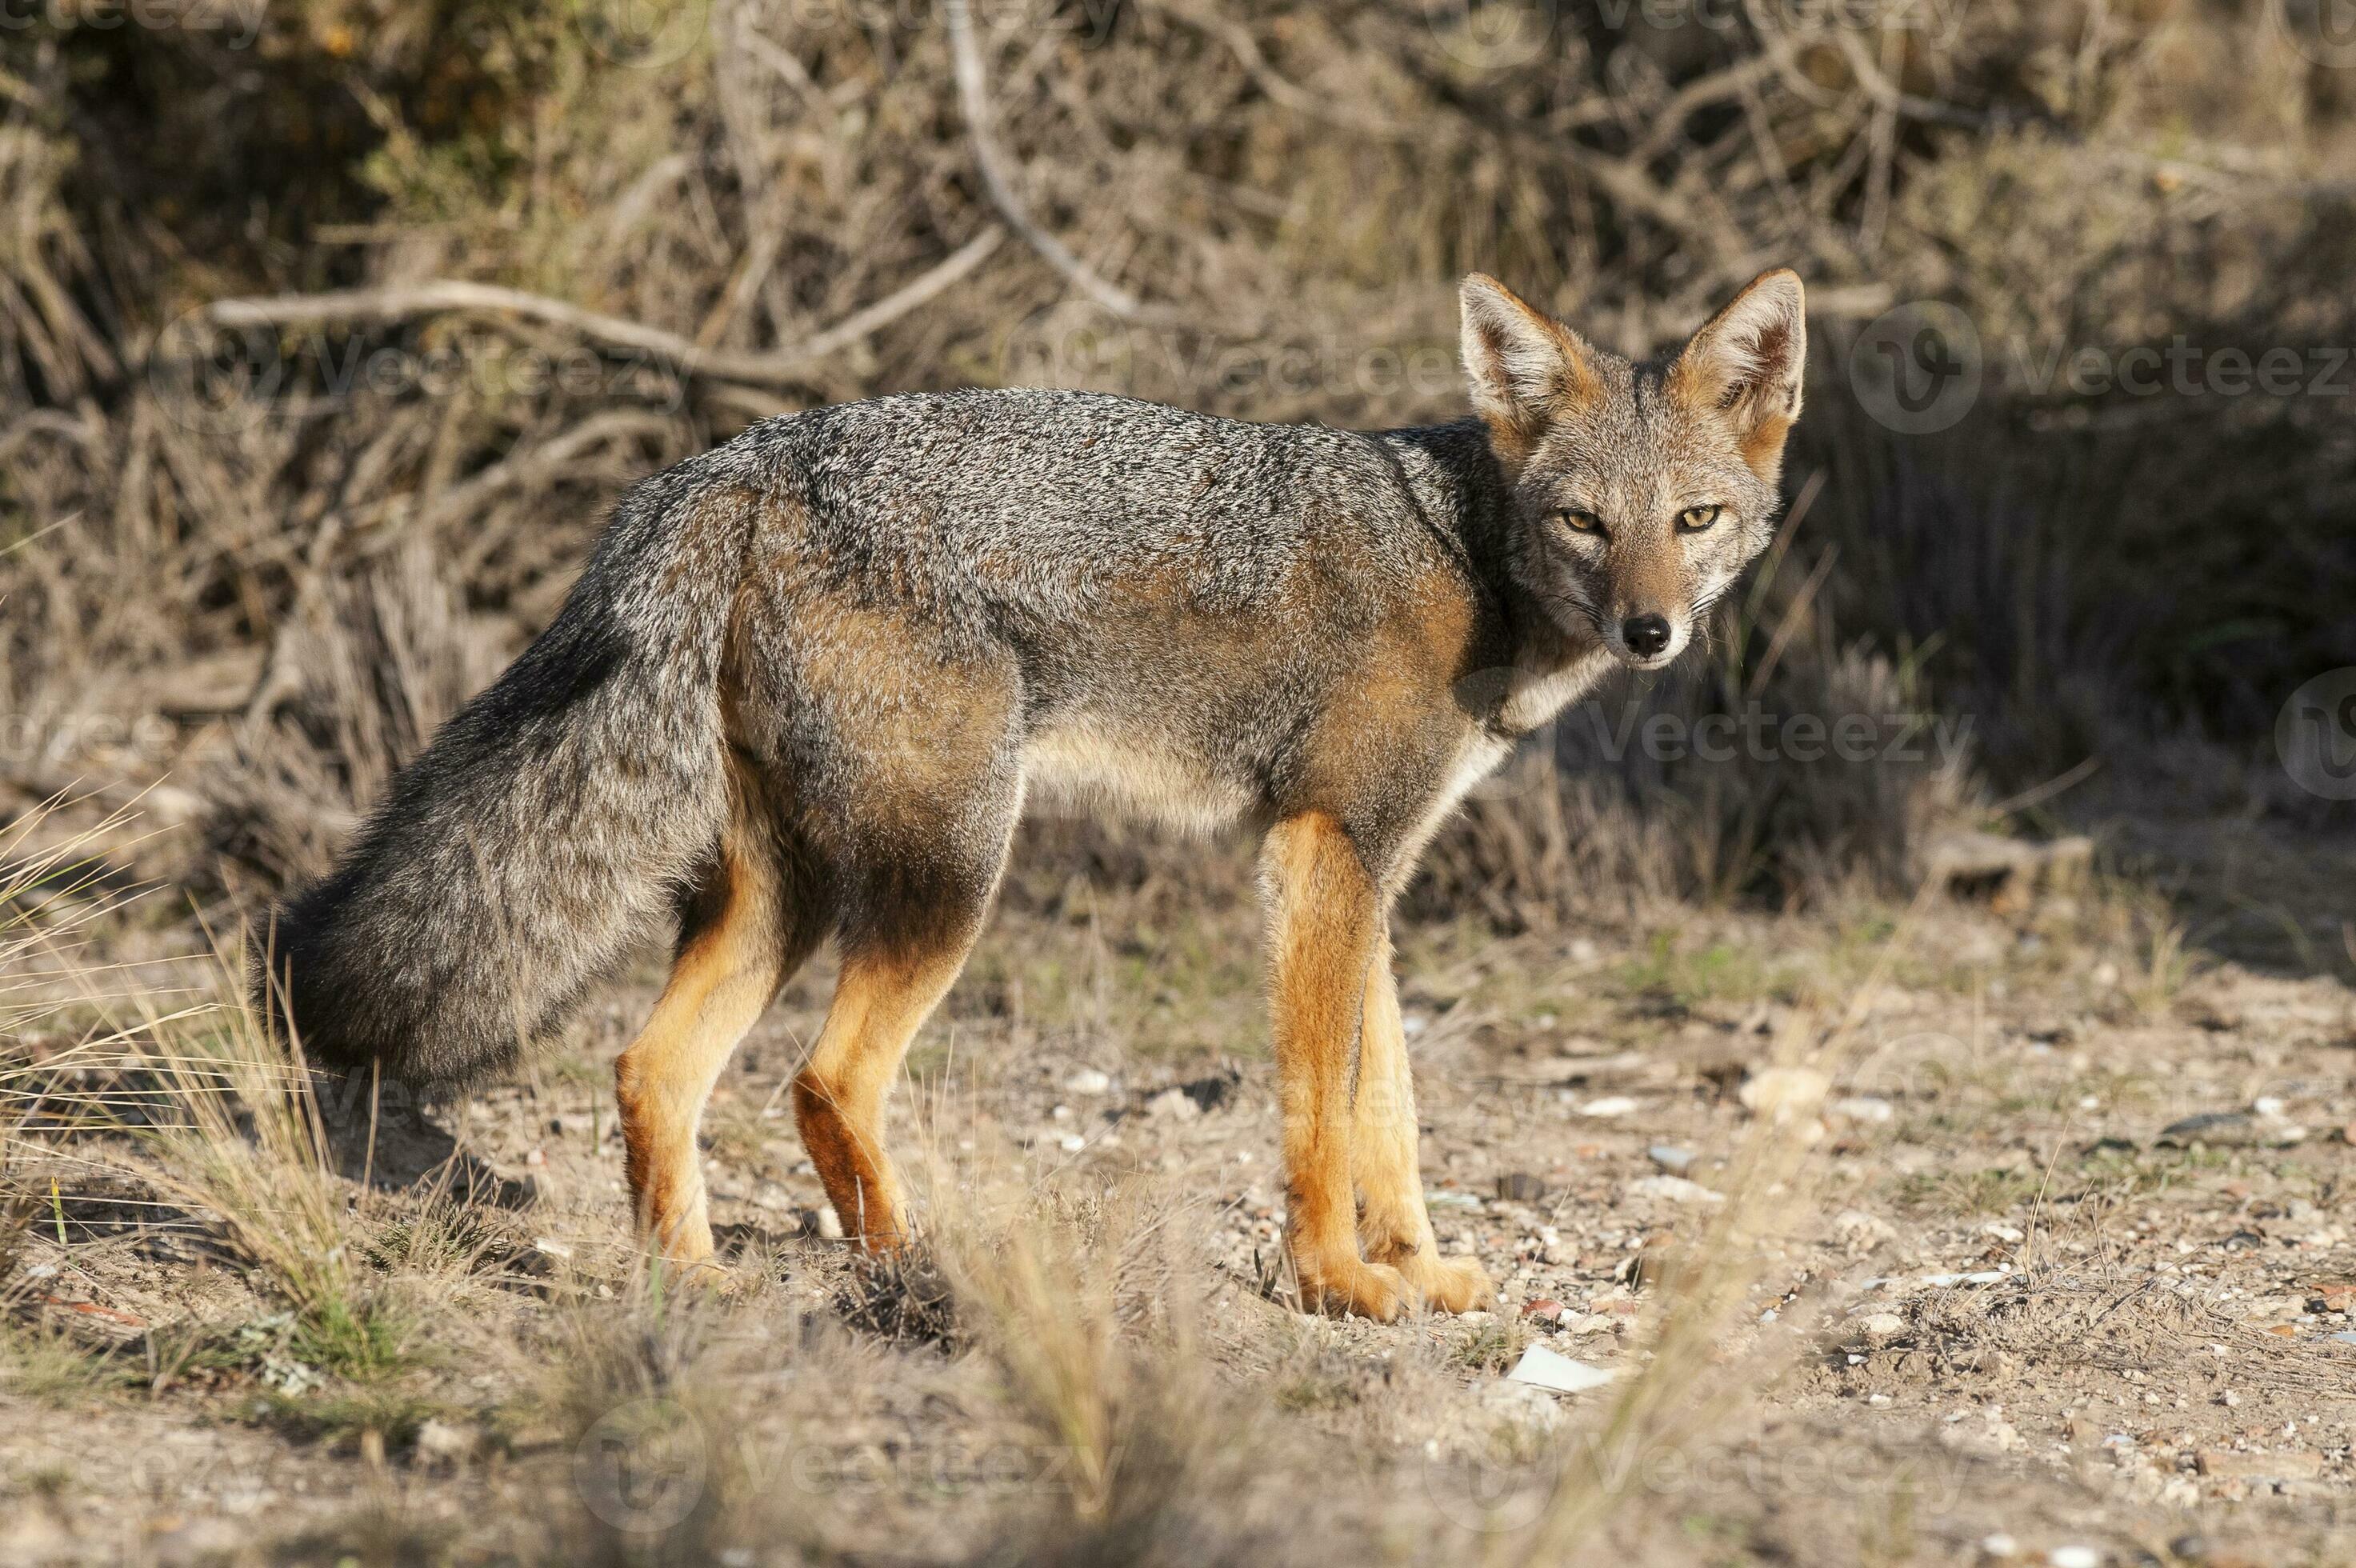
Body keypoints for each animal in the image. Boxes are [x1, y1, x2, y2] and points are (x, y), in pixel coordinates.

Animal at [260, 268, 1806, 1320]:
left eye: (1695, 522)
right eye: (1584, 524)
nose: (1651, 632)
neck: (1466, 557)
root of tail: (725, 467)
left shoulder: (1370, 866)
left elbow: (1392, 1110)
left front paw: (1415, 1267)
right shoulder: (1320, 852)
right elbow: (1321, 1113)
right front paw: (1337, 1283)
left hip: (791, 894)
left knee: (652, 1068)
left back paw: (694, 1282)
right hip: (952, 873)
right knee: (826, 1081)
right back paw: (908, 1269)